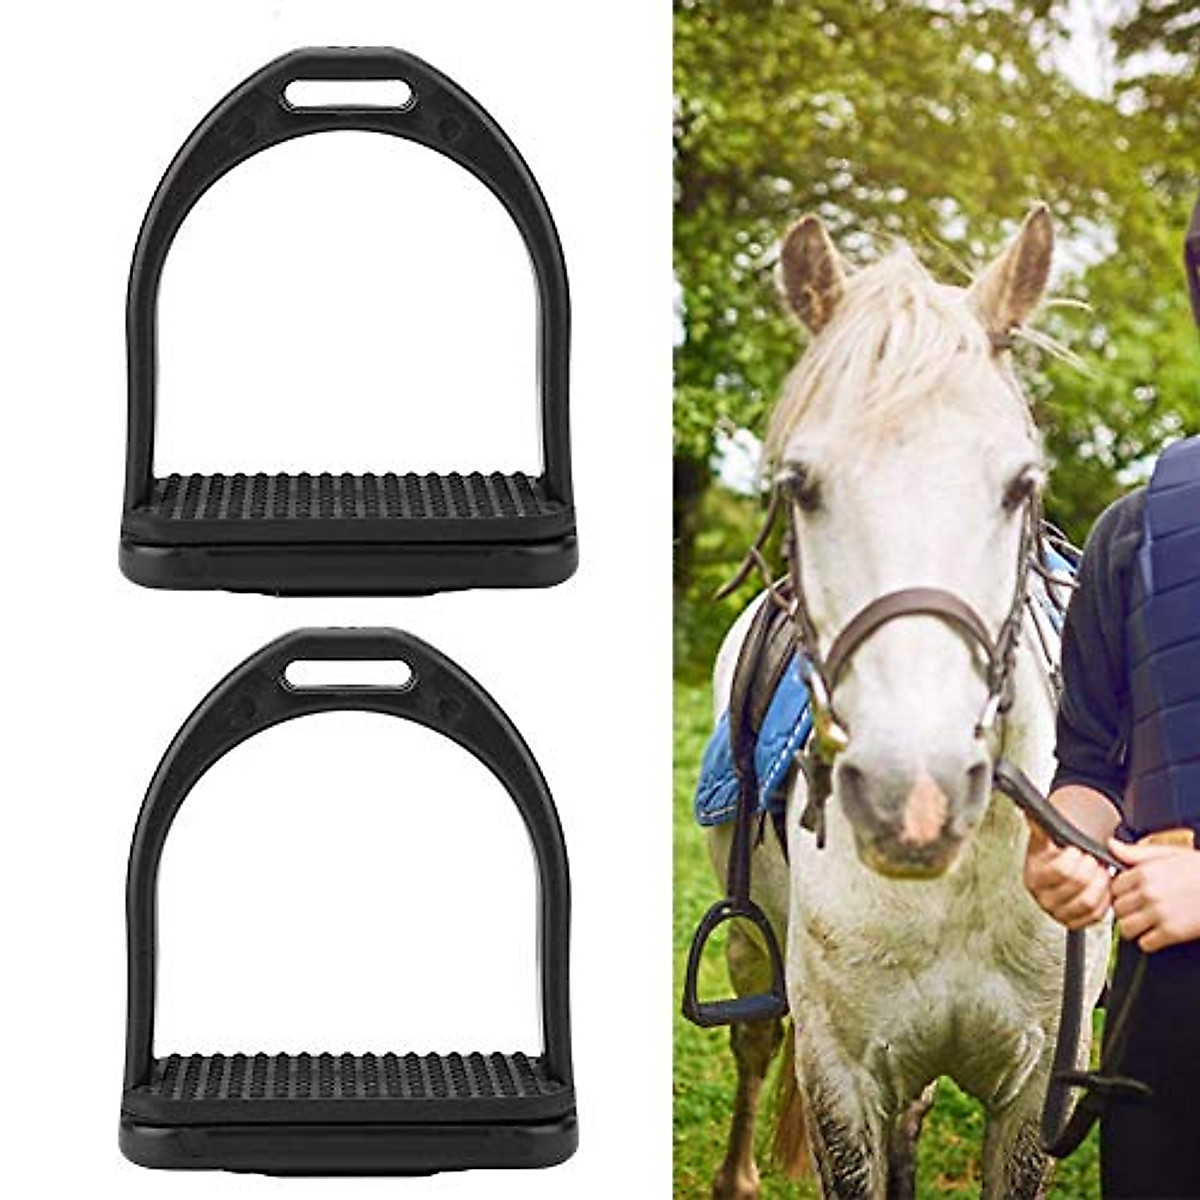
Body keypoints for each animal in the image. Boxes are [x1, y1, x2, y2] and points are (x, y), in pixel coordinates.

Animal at [704, 207, 1111, 1199]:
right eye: (800, 486)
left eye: (1020, 485)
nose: (912, 799)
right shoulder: (842, 1079)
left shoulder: (1035, 1094)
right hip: (752, 954)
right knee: (754, 1045)